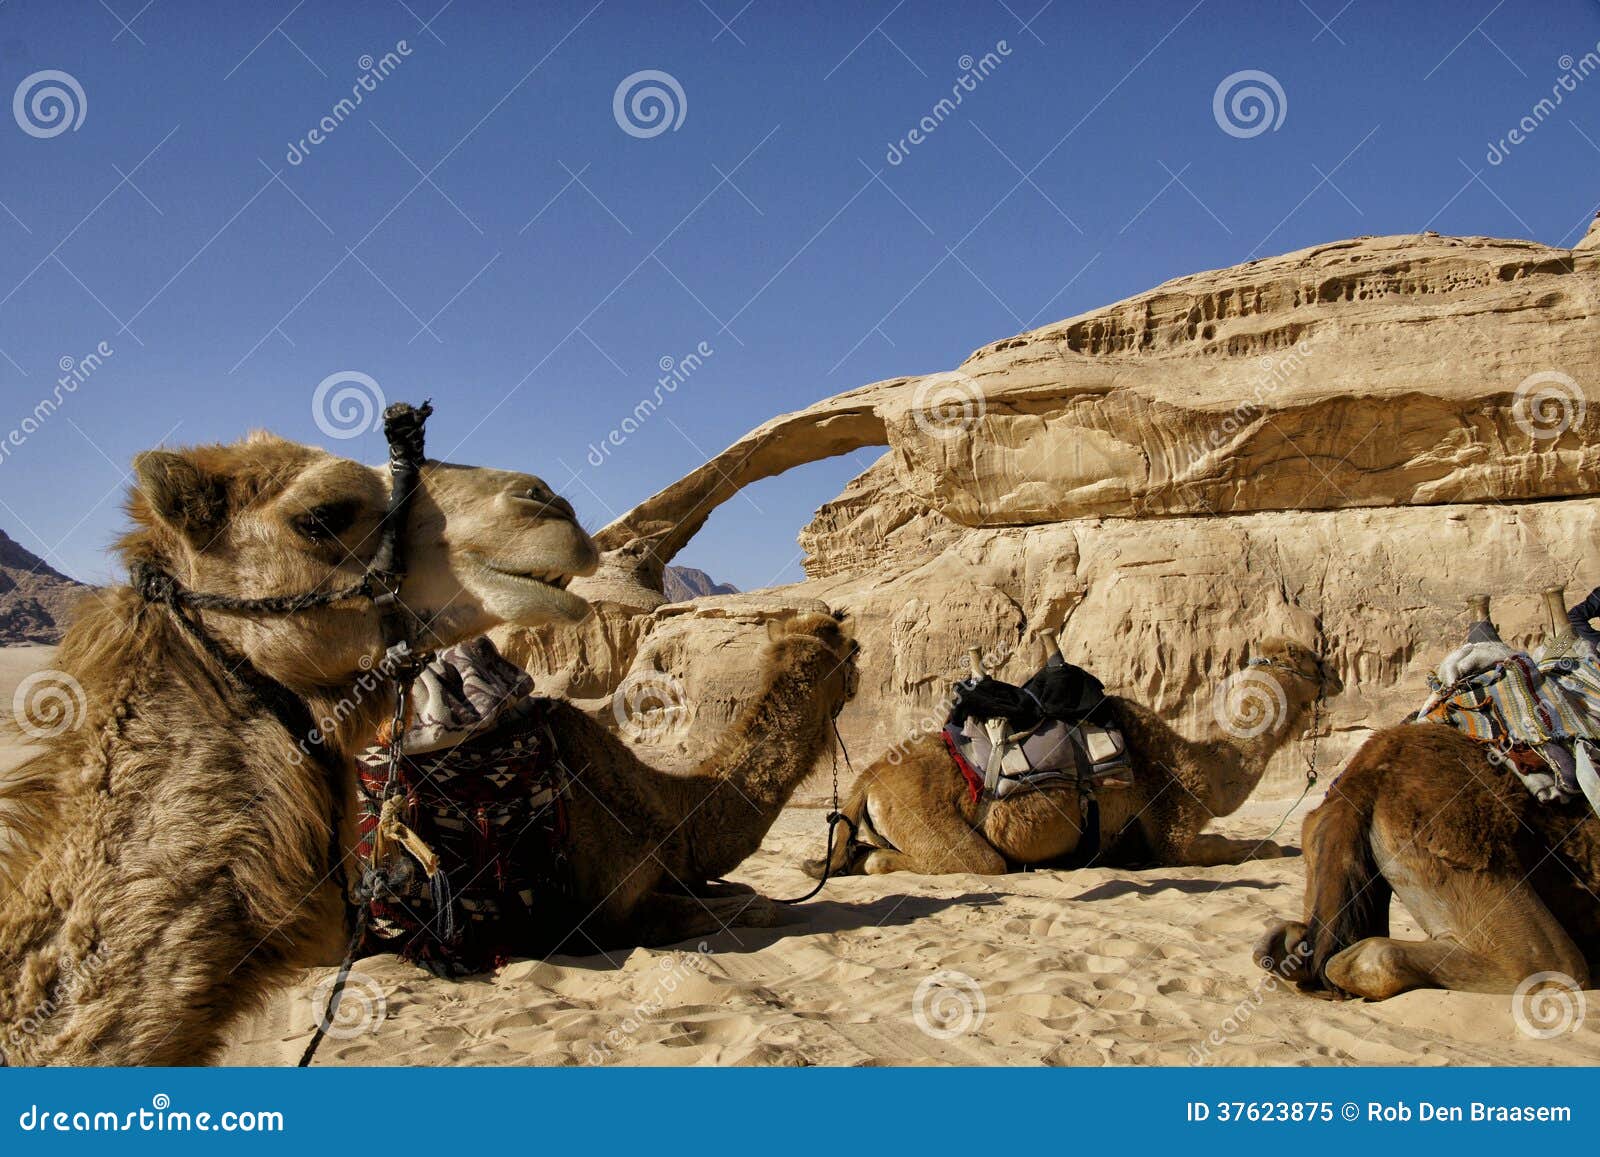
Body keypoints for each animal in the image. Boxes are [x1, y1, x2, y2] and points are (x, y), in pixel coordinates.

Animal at [804, 637, 1338, 878]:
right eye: (1312, 658)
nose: (1334, 675)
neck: (1199, 767)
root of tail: (867, 778)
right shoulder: (1174, 833)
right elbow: (1248, 847)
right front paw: (1276, 849)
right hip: (934, 823)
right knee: (964, 863)